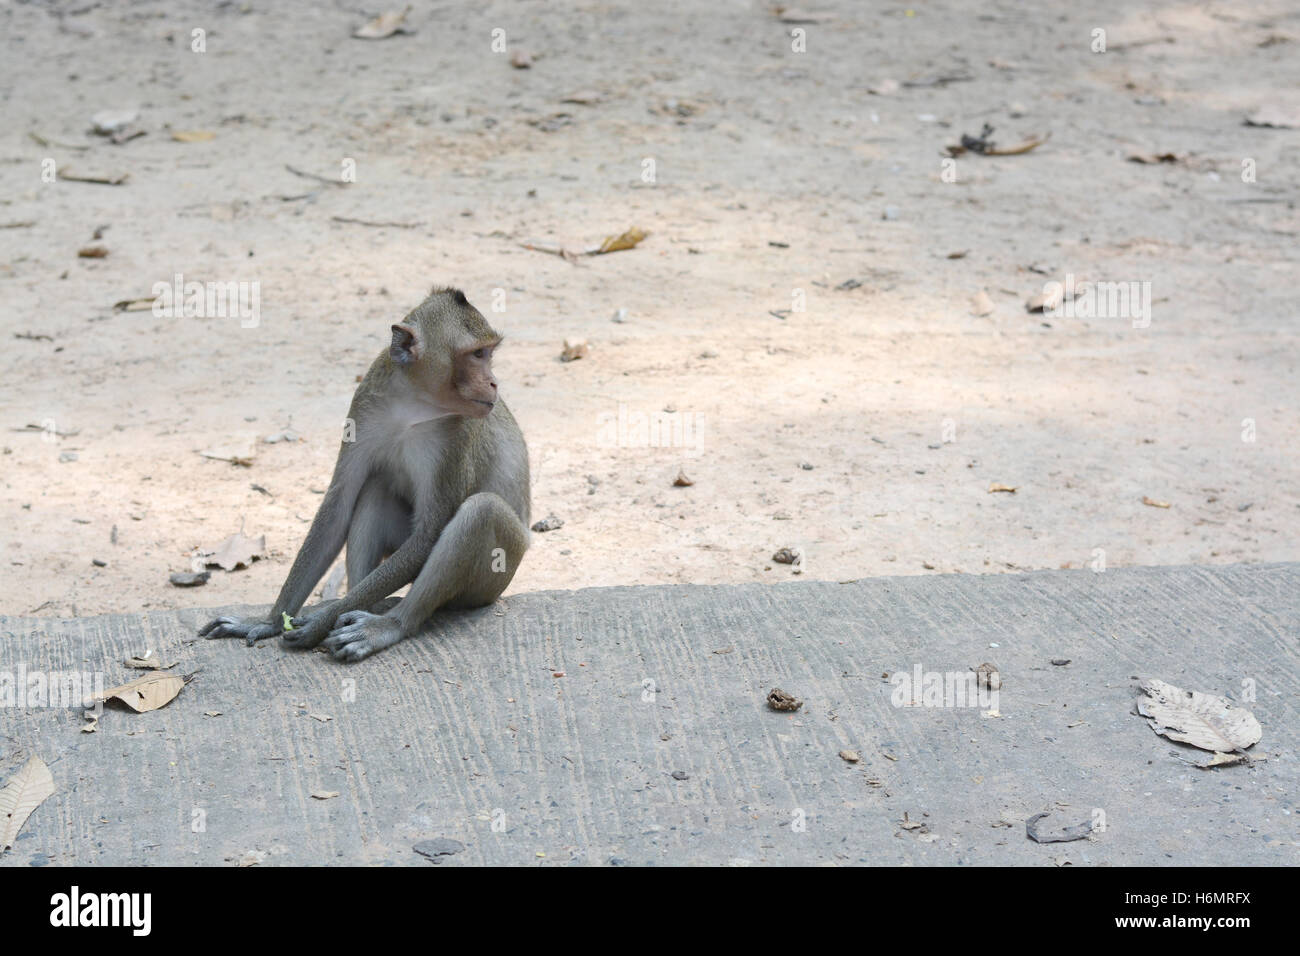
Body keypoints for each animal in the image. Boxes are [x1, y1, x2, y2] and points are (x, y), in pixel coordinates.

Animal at [198, 287, 530, 662]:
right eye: (477, 354)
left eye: (487, 353)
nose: (493, 382)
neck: (414, 405)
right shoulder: (366, 403)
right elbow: (339, 503)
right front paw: (269, 621)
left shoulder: (458, 433)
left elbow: (429, 534)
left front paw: (319, 623)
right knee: (375, 488)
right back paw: (363, 604)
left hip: (493, 580)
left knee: (482, 511)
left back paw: (388, 624)